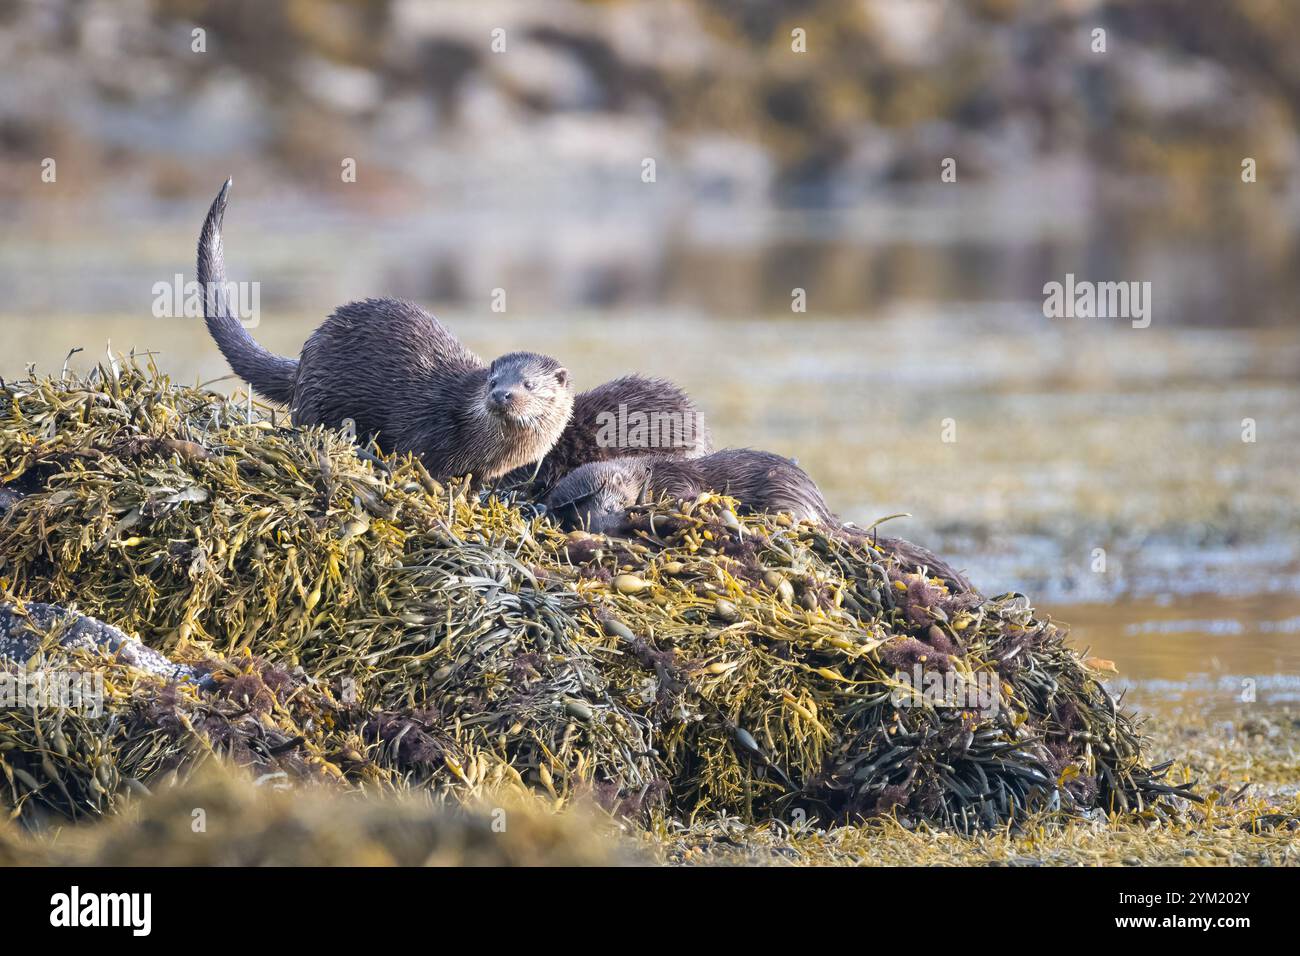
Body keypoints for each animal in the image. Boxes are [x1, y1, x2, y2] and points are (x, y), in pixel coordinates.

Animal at [197, 180, 575, 482]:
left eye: (528, 384)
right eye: (494, 381)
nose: (501, 395)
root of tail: (303, 362)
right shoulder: (426, 433)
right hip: (317, 398)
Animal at [545, 449, 973, 591]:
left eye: (614, 502)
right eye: (579, 518)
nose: (610, 528)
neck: (650, 472)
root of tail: (818, 501)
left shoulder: (677, 480)